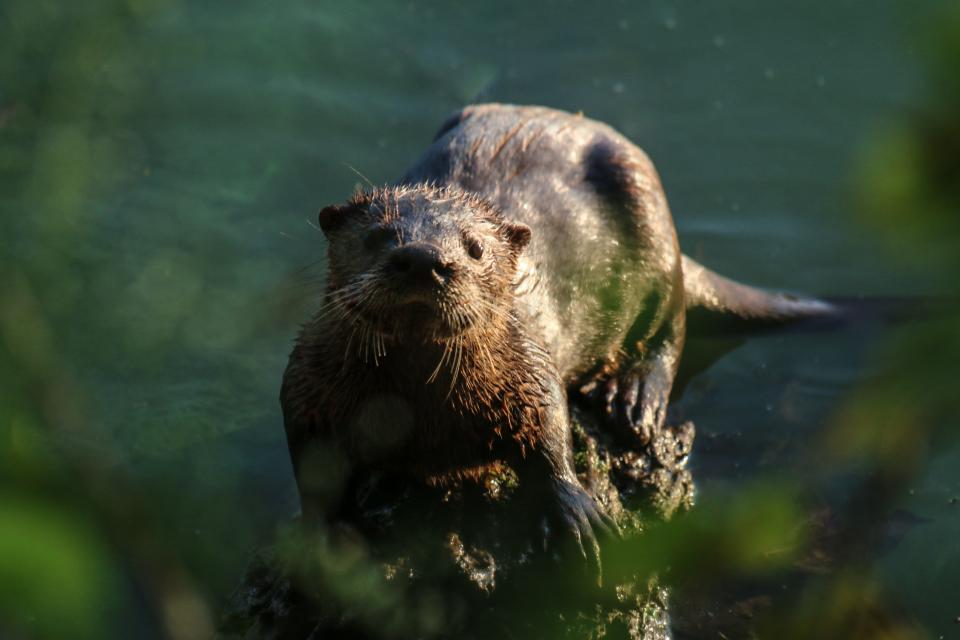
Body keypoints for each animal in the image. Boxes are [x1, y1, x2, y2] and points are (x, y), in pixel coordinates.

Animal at [281, 104, 833, 574]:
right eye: (378, 236)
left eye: (474, 247)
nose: (422, 259)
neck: (422, 405)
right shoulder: (309, 378)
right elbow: (310, 460)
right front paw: (322, 535)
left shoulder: (526, 360)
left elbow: (549, 424)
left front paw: (575, 510)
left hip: (651, 215)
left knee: (670, 327)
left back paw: (632, 399)